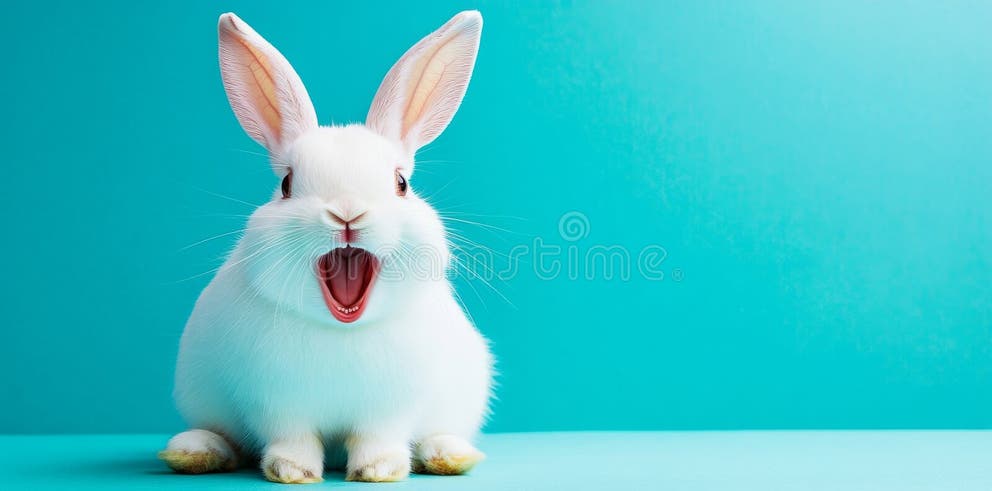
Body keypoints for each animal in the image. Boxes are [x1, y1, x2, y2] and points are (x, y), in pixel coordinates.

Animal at [157, 11, 493, 483]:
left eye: (401, 183)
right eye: (286, 184)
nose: (348, 213)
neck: (342, 329)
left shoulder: (389, 408)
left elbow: (378, 437)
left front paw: (379, 469)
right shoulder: (276, 403)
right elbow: (291, 437)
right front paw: (292, 470)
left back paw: (451, 454)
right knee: (223, 436)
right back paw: (194, 451)